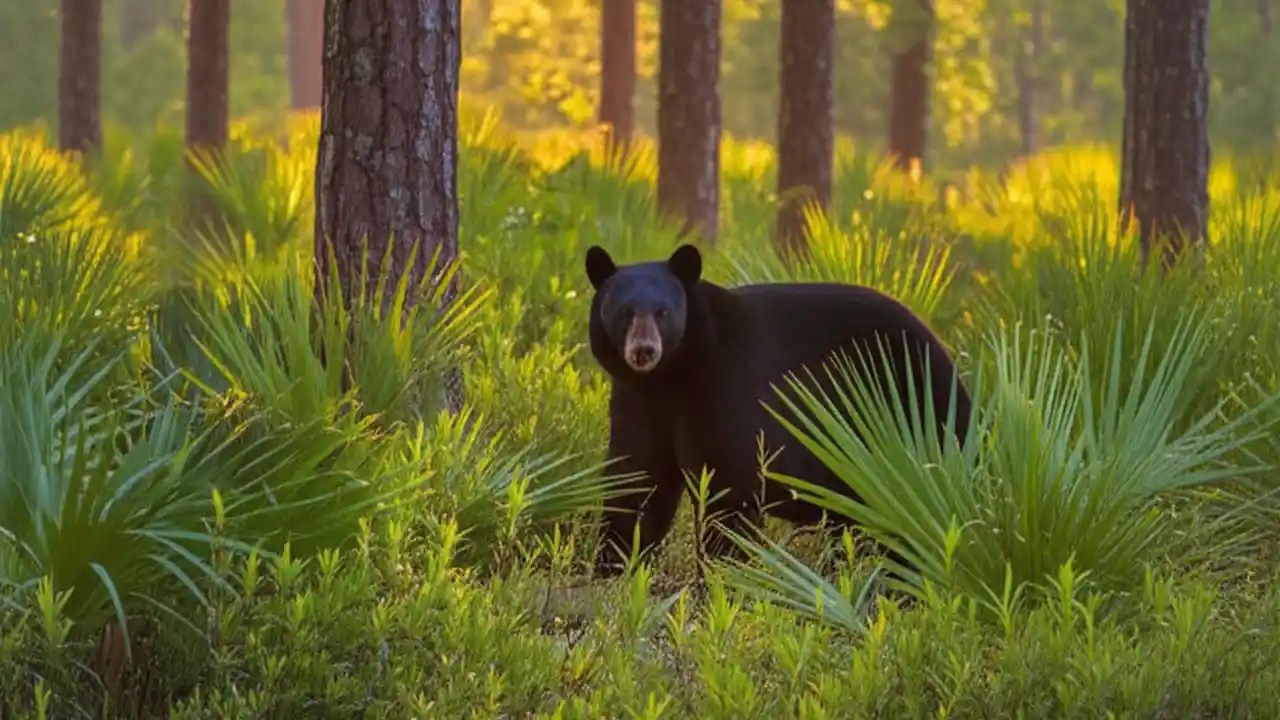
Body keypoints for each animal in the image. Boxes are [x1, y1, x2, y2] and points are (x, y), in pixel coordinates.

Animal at [584, 243, 972, 577]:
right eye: (624, 312)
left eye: (663, 312)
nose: (644, 350)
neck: (673, 376)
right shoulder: (640, 400)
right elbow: (638, 478)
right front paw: (614, 566)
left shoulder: (726, 386)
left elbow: (729, 482)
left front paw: (723, 576)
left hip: (916, 413)